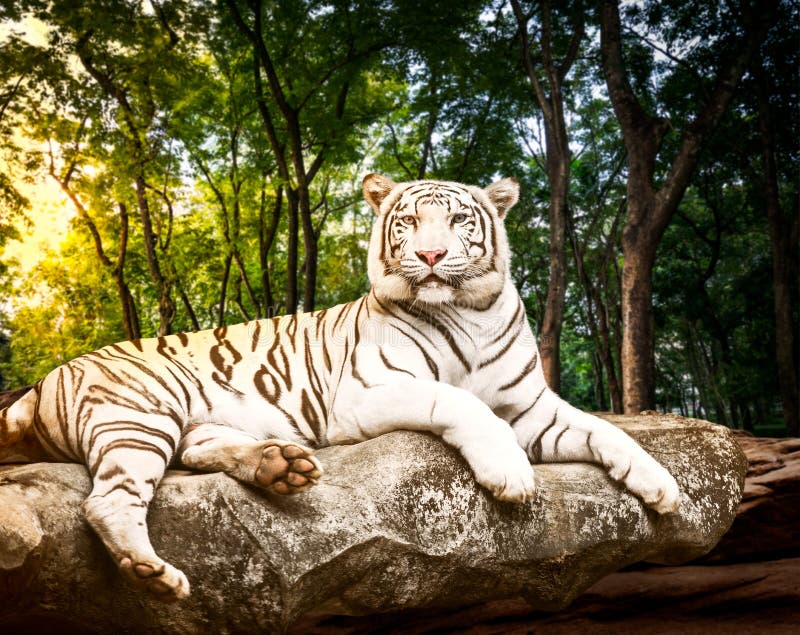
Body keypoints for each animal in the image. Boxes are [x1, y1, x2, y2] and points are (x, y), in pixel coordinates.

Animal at [0, 174, 680, 601]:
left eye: (460, 220)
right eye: (408, 222)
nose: (431, 257)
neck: (471, 310)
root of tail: (49, 376)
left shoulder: (533, 408)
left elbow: (608, 431)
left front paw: (665, 489)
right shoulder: (369, 390)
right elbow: (459, 400)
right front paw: (510, 474)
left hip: (185, 423)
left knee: (197, 452)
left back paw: (279, 467)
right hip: (139, 413)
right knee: (106, 502)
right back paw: (155, 574)